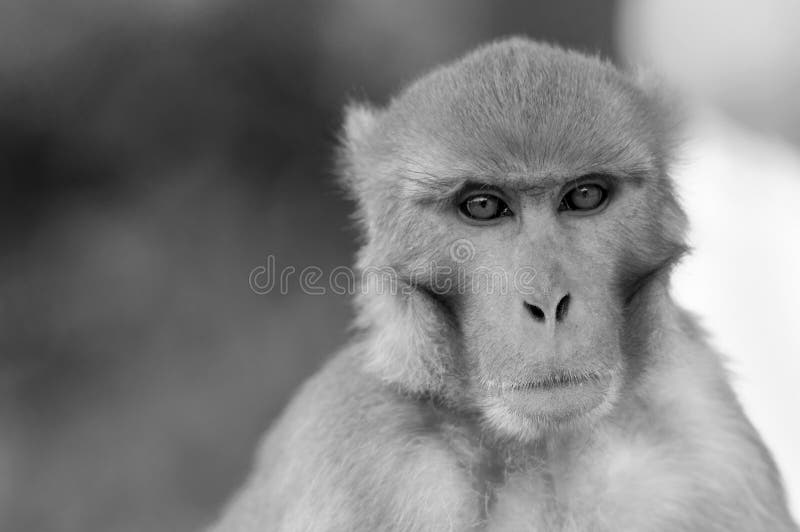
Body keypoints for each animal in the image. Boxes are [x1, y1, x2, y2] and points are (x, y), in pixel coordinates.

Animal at [210, 38, 798, 531]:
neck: (541, 448)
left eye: (584, 196)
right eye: (484, 206)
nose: (548, 302)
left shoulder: (711, 430)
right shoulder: (358, 459)